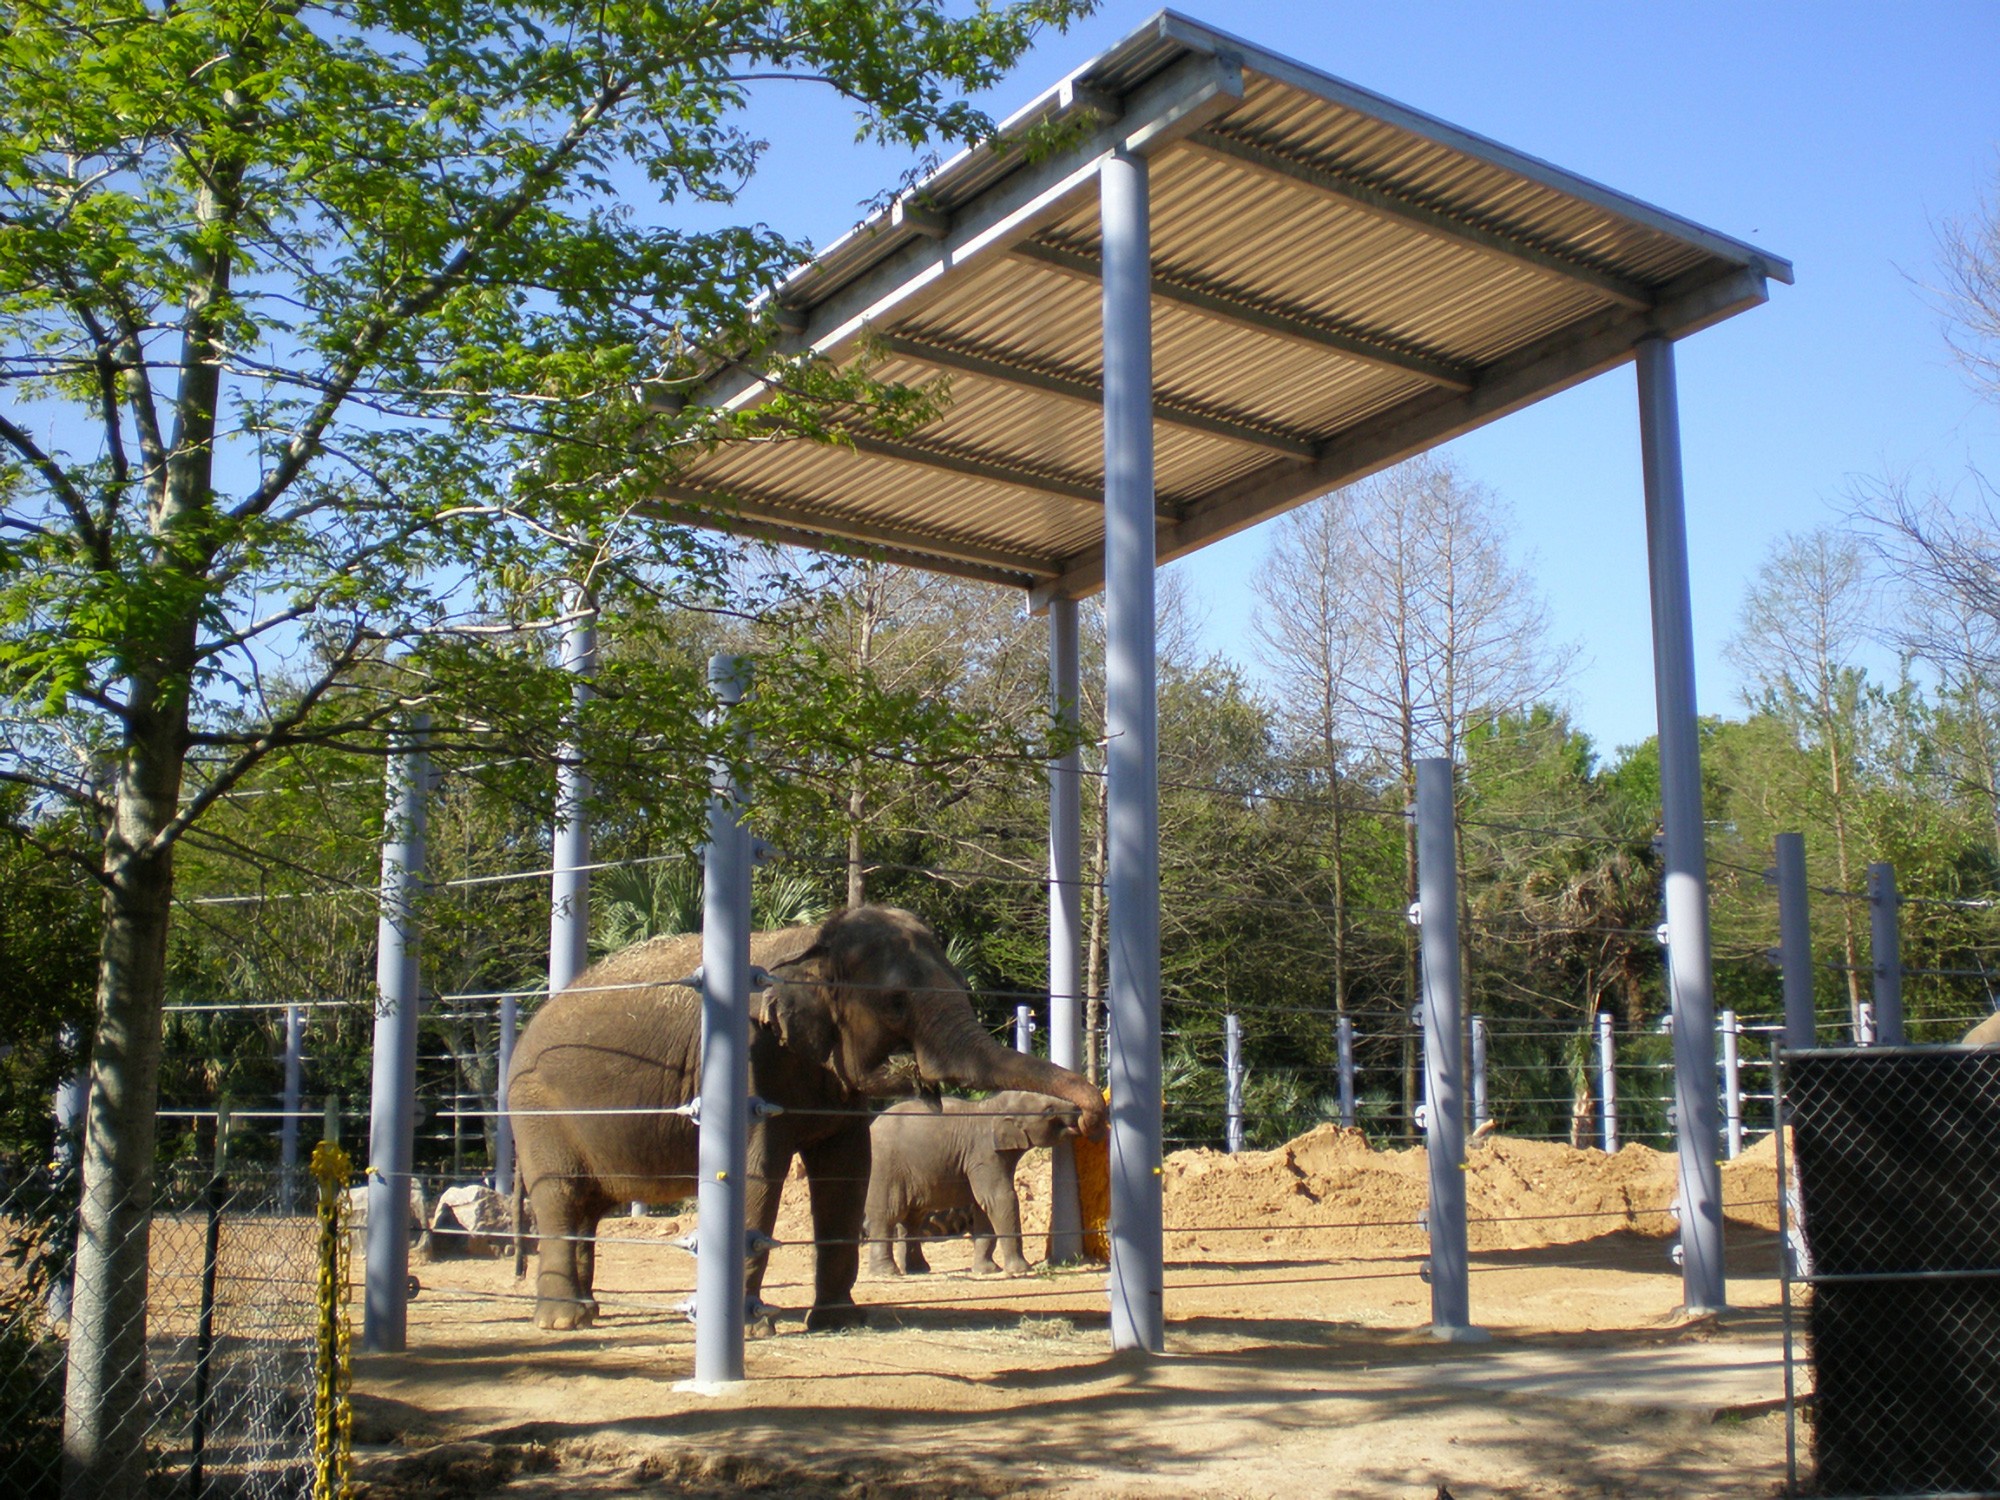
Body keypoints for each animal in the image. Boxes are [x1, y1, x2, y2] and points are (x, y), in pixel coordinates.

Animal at [864, 1090, 1081, 1278]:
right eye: (1049, 1111)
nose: (1078, 1110)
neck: (993, 1106)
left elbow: (984, 1206)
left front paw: (987, 1271)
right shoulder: (983, 1154)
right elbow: (1000, 1199)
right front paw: (1021, 1270)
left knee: (912, 1218)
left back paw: (917, 1270)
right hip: (884, 1169)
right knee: (888, 1215)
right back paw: (887, 1273)